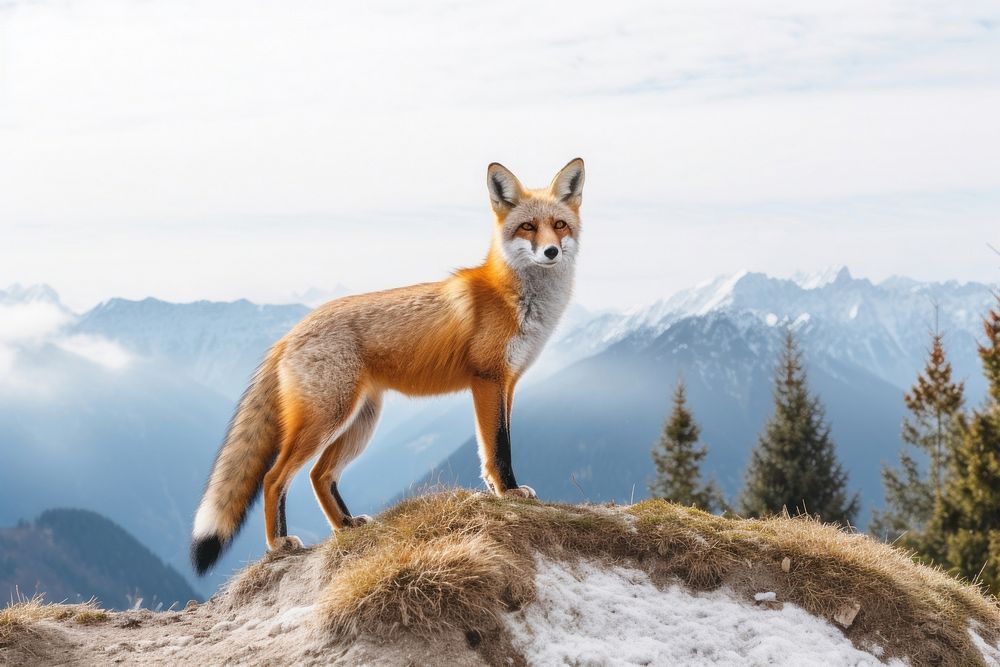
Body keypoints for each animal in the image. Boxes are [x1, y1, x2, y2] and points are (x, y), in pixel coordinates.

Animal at [190, 158, 585, 575]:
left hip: (360, 421)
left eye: (559, 225)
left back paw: (346, 526)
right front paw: (508, 491)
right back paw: (279, 543)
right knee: (273, 477)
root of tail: (289, 333)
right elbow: (498, 447)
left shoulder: (507, 383)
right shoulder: (487, 380)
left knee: (319, 475)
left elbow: (495, 446)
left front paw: (501, 491)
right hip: (327, 418)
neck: (516, 300)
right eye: (528, 227)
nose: (551, 252)